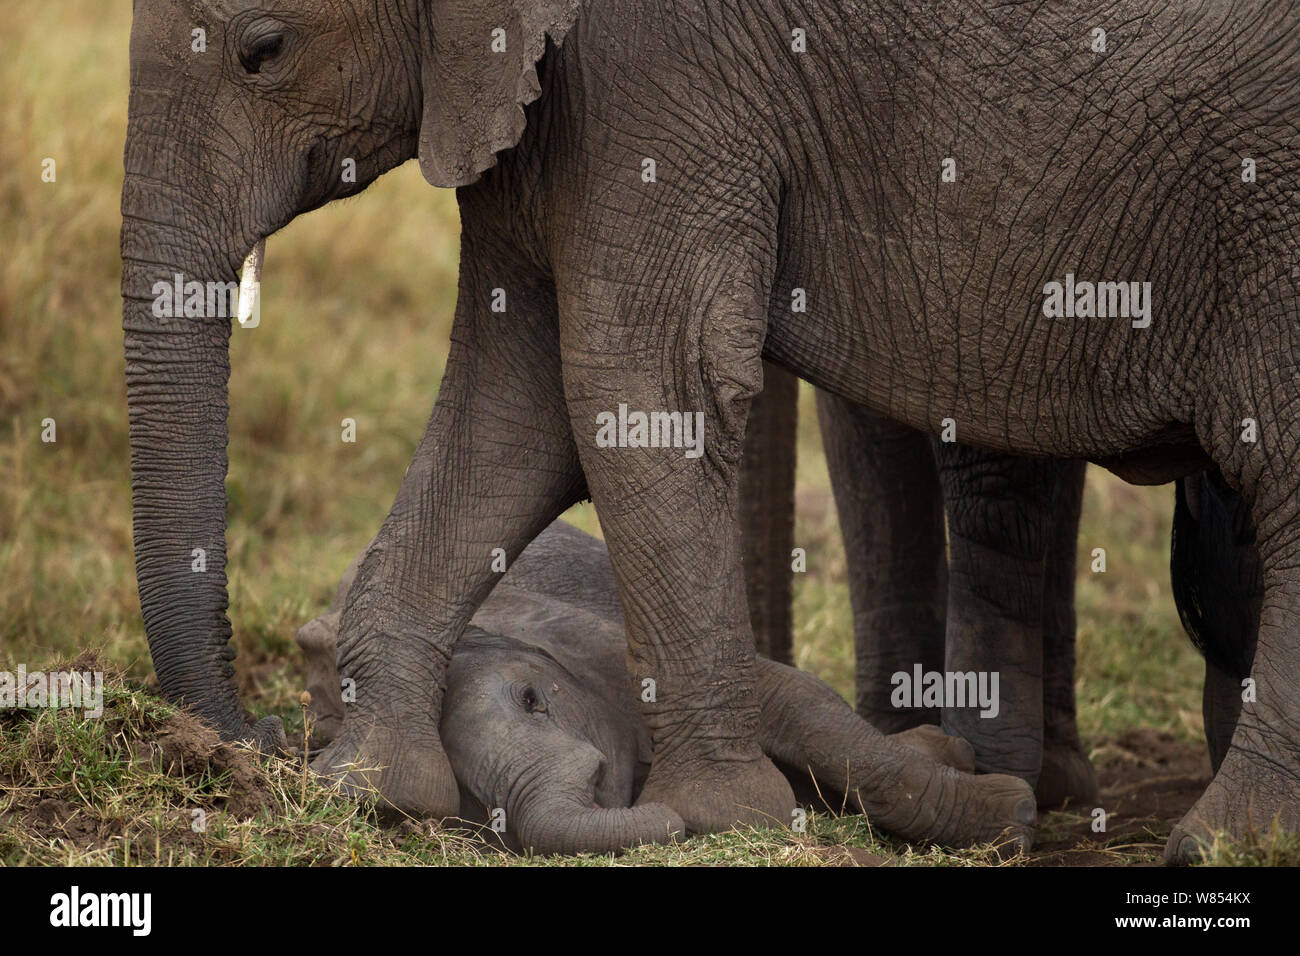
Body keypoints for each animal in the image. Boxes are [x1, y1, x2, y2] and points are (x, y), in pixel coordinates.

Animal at [295, 519, 1037, 854]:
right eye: (472, 803)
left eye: (534, 700)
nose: (676, 824)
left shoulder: (592, 637)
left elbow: (788, 699)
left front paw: (1015, 813)